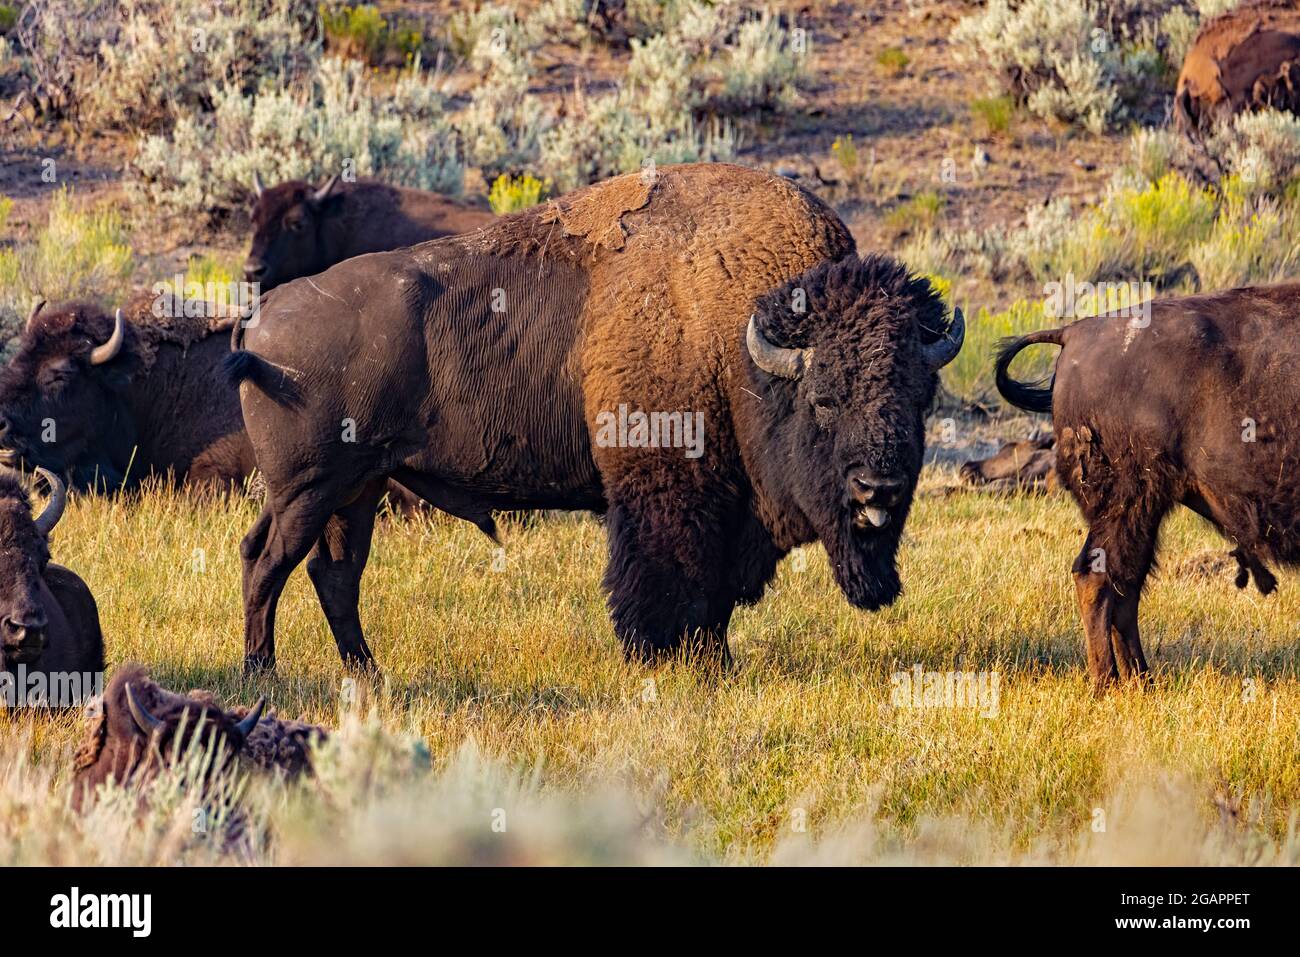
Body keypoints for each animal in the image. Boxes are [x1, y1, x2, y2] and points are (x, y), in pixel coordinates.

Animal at [995, 283, 1300, 690]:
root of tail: (1072, 333)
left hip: (1143, 509)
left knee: (1124, 586)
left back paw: (1140, 681)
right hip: (1129, 500)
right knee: (1098, 577)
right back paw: (1107, 684)